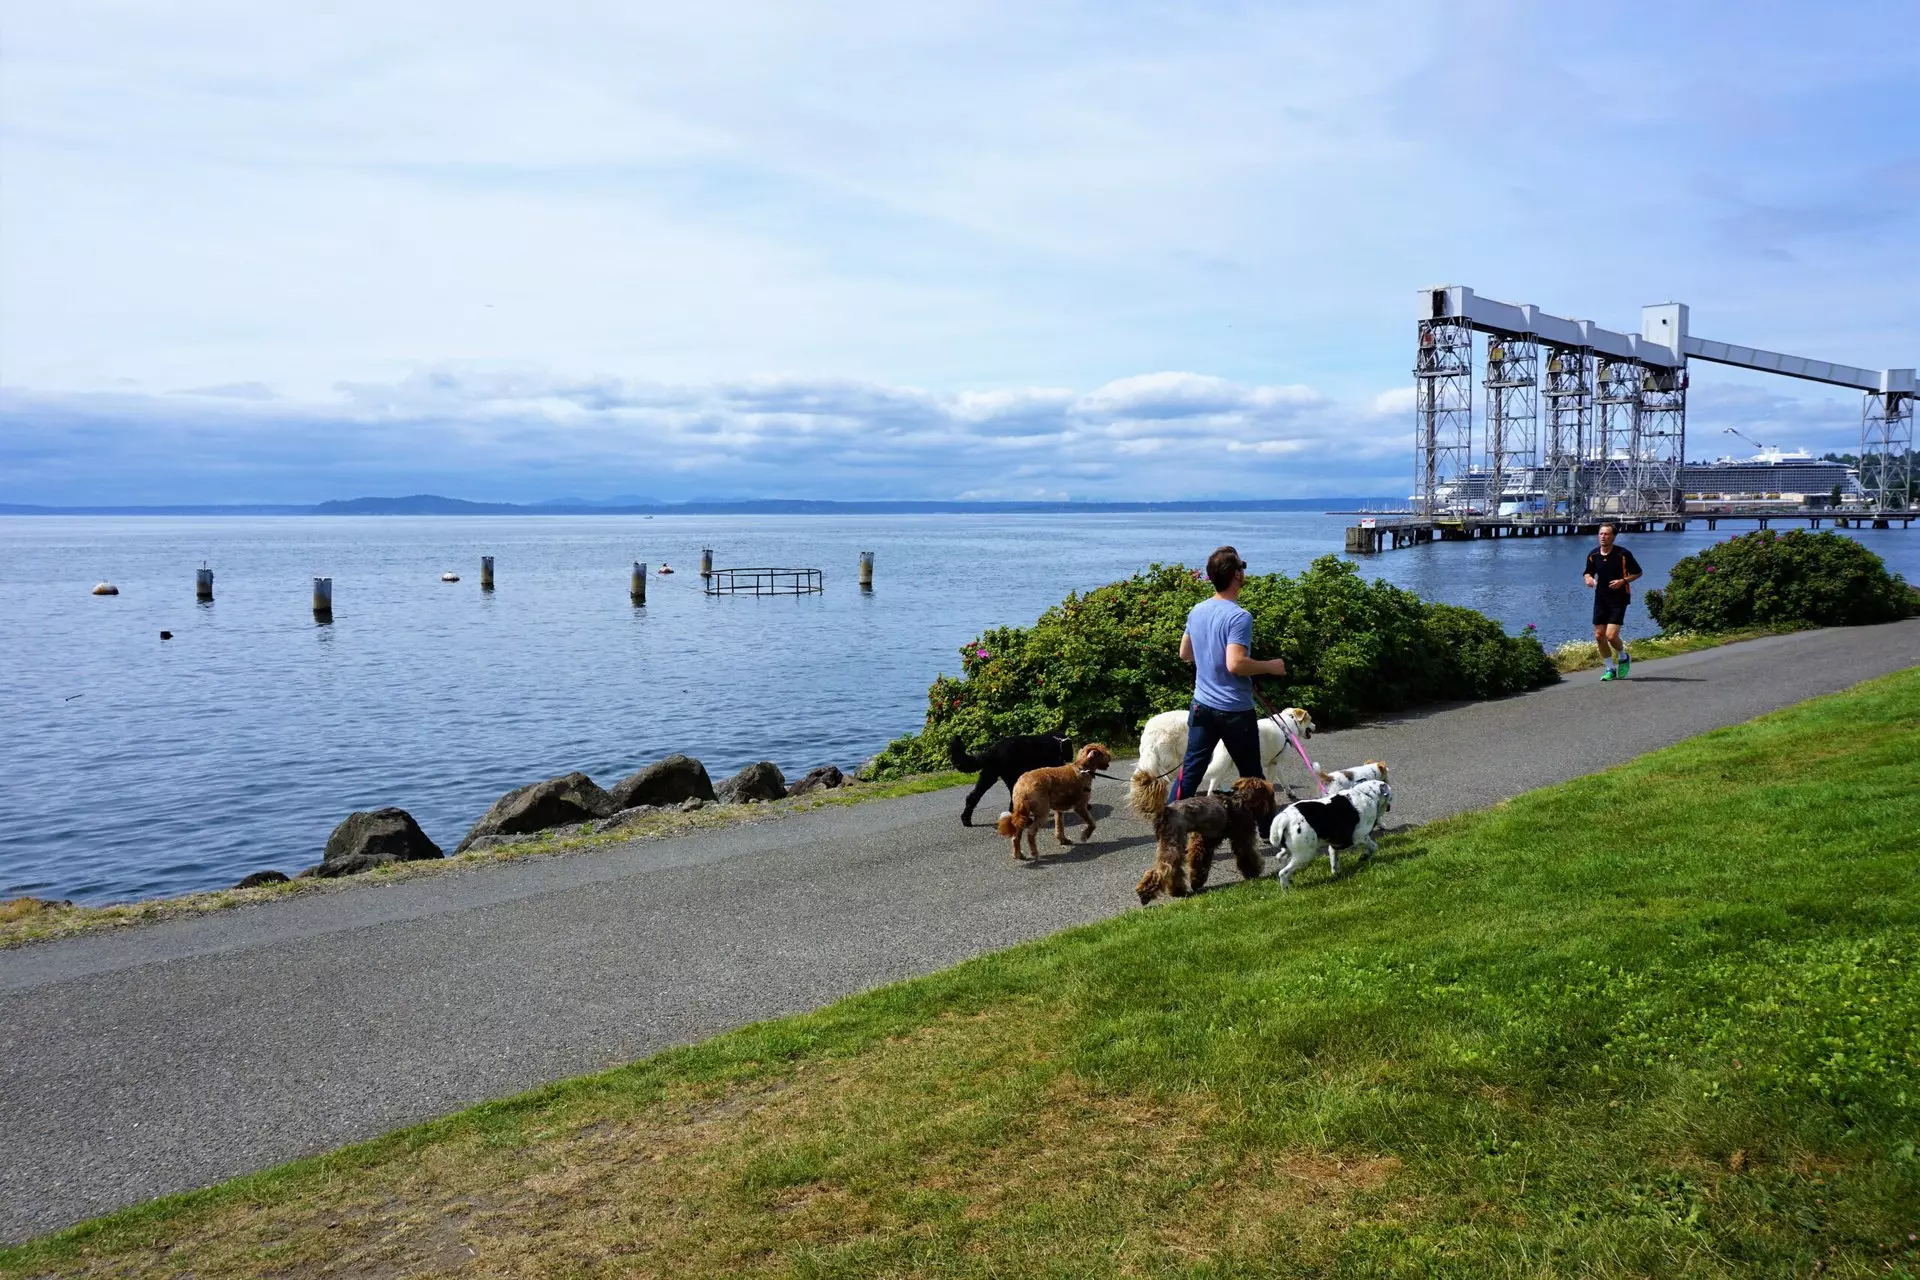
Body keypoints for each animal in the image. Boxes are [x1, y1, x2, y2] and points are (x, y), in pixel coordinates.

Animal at [1121, 706, 1320, 817]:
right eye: (1311, 719)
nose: (1316, 727)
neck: (1285, 725)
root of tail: (1150, 728)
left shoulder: (1273, 762)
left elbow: (1282, 778)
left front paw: (1290, 793)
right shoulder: (1273, 762)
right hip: (1173, 761)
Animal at [1128, 775, 1282, 905]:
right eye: (1271, 794)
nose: (1274, 806)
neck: (1241, 798)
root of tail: (1166, 810)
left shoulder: (1204, 842)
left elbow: (1200, 863)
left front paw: (1196, 882)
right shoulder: (1242, 839)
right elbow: (1247, 856)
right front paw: (1252, 873)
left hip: (1169, 844)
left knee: (1172, 870)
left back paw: (1177, 890)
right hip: (1173, 845)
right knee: (1161, 870)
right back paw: (1145, 894)